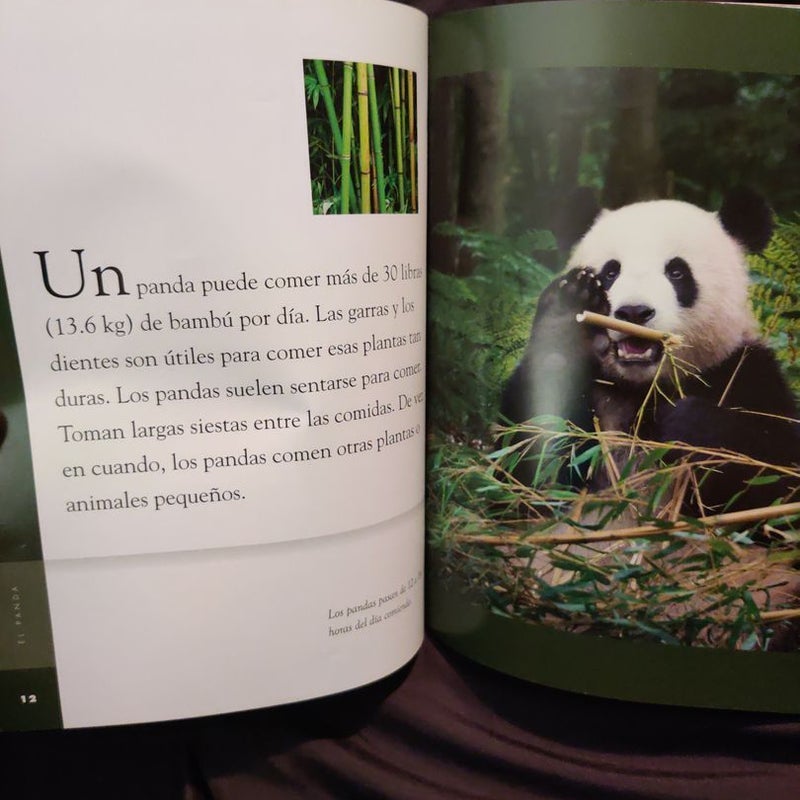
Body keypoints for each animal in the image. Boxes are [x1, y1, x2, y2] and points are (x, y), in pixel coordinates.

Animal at [500, 188, 800, 515]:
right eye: (611, 272)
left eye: (677, 272)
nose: (634, 311)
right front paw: (567, 313)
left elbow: (775, 475)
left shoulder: (746, 372)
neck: (642, 388)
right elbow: (523, 470)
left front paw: (688, 423)